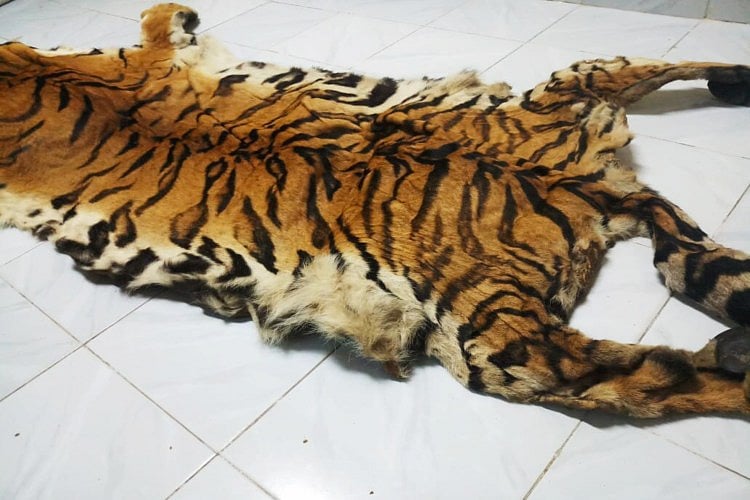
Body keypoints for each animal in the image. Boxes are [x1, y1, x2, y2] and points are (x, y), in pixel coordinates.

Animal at [1, 3, 749, 418]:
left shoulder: (144, 53)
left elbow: (160, 16)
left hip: (494, 330)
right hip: (571, 101)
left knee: (620, 375)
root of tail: (580, 179)